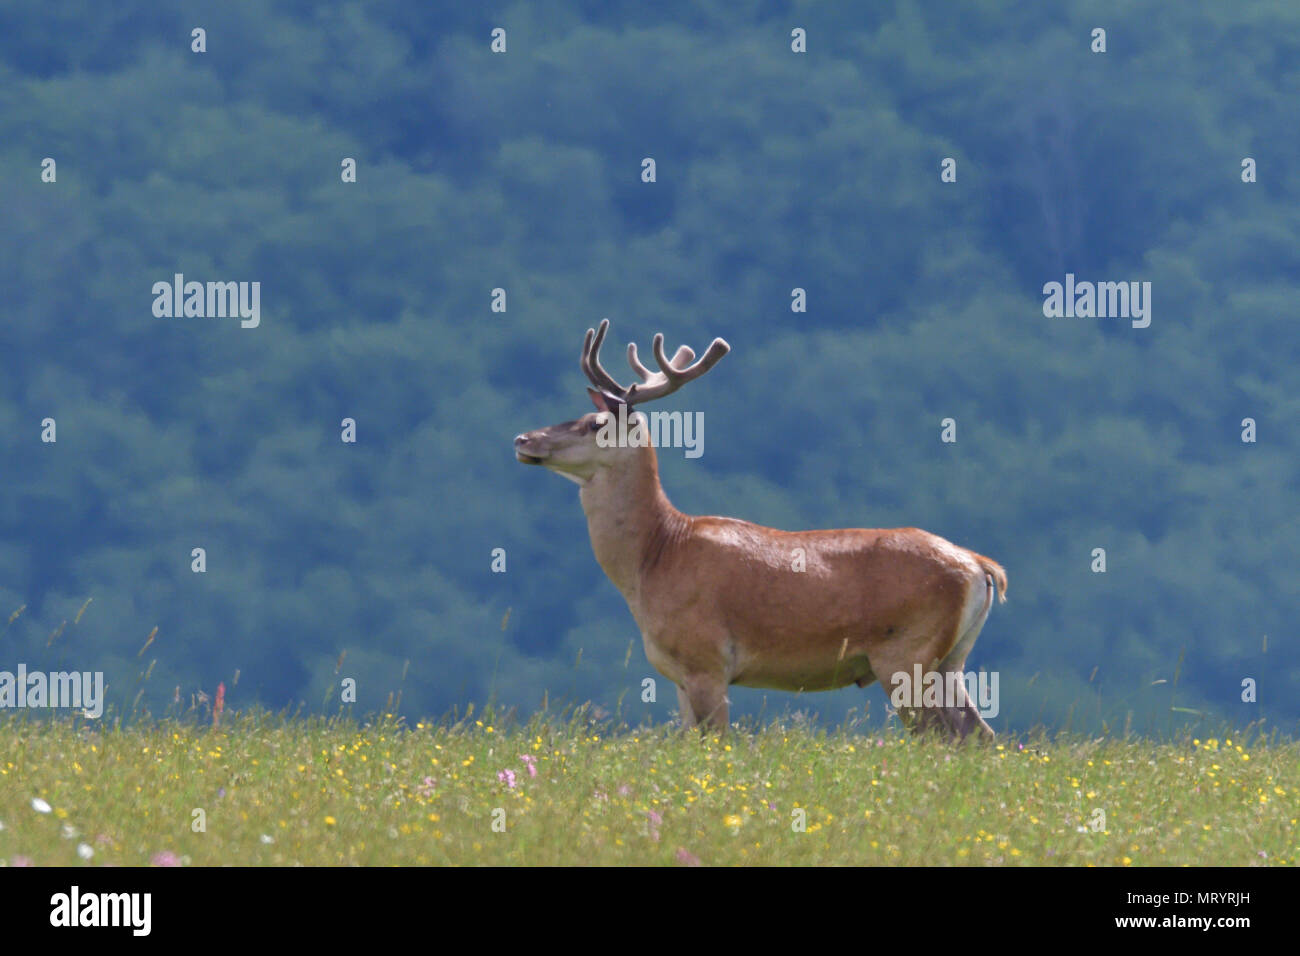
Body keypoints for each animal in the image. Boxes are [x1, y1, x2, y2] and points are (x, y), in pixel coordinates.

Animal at [513, 319, 1007, 740]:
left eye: (594, 423)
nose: (522, 440)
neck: (655, 558)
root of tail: (981, 566)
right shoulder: (678, 677)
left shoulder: (706, 658)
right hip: (951, 660)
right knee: (979, 734)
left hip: (906, 653)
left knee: (944, 736)